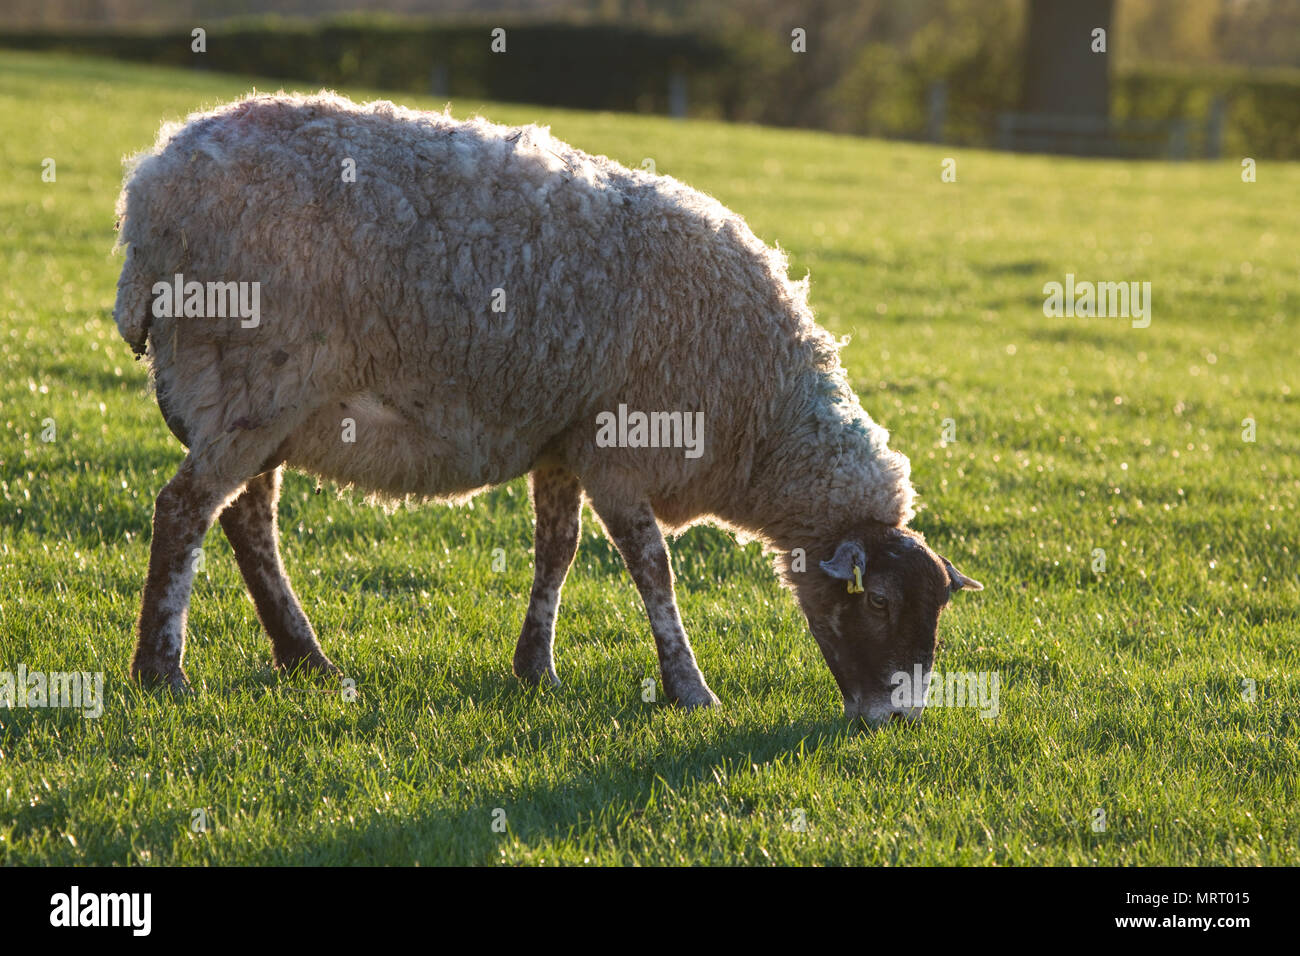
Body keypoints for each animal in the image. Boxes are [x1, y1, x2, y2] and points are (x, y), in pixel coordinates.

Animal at [113, 91, 984, 724]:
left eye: (936, 612)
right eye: (877, 602)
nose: (896, 719)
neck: (762, 422)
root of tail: (151, 185)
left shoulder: (565, 438)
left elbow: (555, 553)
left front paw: (536, 669)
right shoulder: (618, 447)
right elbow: (653, 570)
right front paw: (689, 689)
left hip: (262, 400)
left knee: (246, 518)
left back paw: (305, 659)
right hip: (254, 382)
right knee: (184, 510)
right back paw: (163, 672)